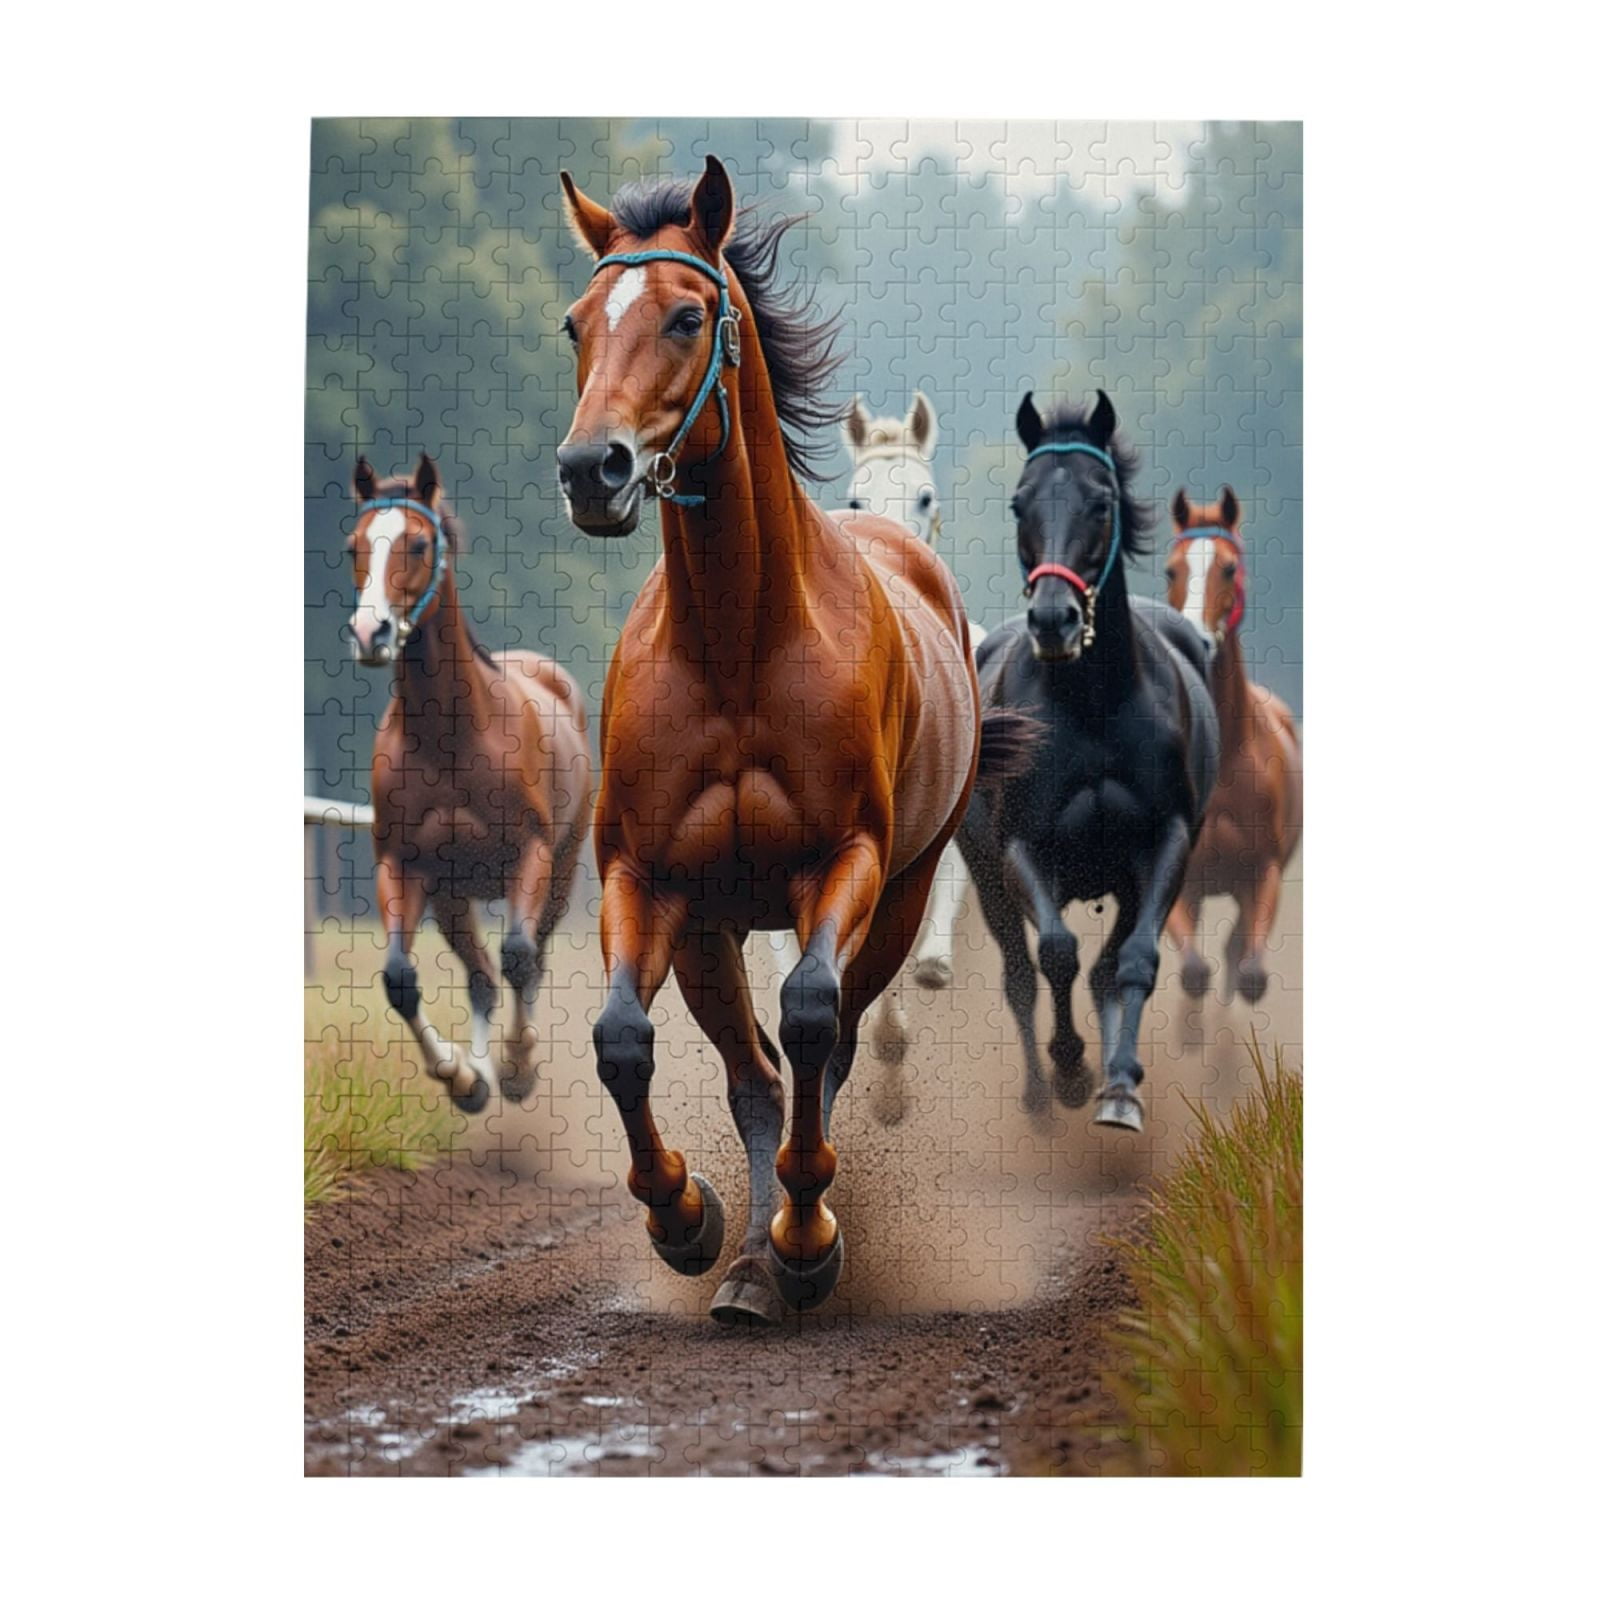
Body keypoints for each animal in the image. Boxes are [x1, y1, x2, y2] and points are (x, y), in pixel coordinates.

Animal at [347, 454, 593, 1112]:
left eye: (418, 542)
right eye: (355, 544)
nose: (370, 634)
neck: (451, 737)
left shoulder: (532, 853)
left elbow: (520, 958)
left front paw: (517, 1068)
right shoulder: (402, 862)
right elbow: (400, 980)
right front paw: (462, 1077)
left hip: (561, 870)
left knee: (527, 960)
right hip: (452, 894)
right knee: (480, 978)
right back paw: (476, 1074)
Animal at [957, 392, 1219, 1132]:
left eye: (1101, 503)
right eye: (1019, 502)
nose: (1055, 620)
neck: (1092, 703)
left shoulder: (1165, 841)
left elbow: (1133, 962)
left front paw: (1120, 1086)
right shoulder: (1019, 846)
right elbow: (1054, 955)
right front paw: (1069, 1066)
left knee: (1106, 969)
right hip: (984, 876)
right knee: (1020, 975)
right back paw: (1041, 1098)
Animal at [1164, 487, 1303, 1002]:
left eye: (1227, 568)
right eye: (1172, 570)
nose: (1196, 640)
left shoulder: (1262, 873)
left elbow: (1251, 976)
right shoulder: (1184, 879)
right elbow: (1193, 974)